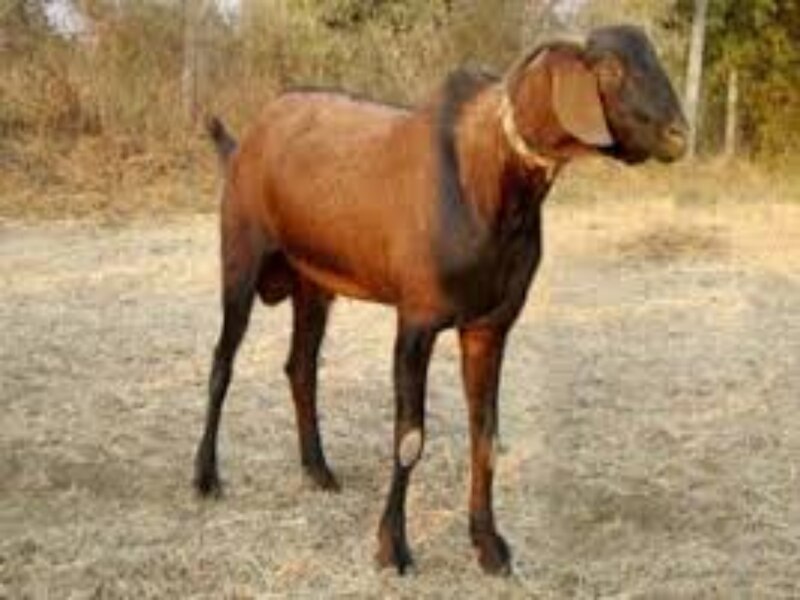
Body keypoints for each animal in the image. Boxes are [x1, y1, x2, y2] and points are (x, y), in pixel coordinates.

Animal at [194, 25, 688, 575]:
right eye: (610, 69)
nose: (678, 134)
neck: (488, 179)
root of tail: (245, 139)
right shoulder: (417, 320)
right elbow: (410, 438)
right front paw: (393, 548)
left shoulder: (490, 325)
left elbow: (486, 436)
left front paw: (489, 545)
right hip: (240, 254)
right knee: (222, 362)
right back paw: (206, 478)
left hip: (312, 283)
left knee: (301, 367)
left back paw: (319, 471)